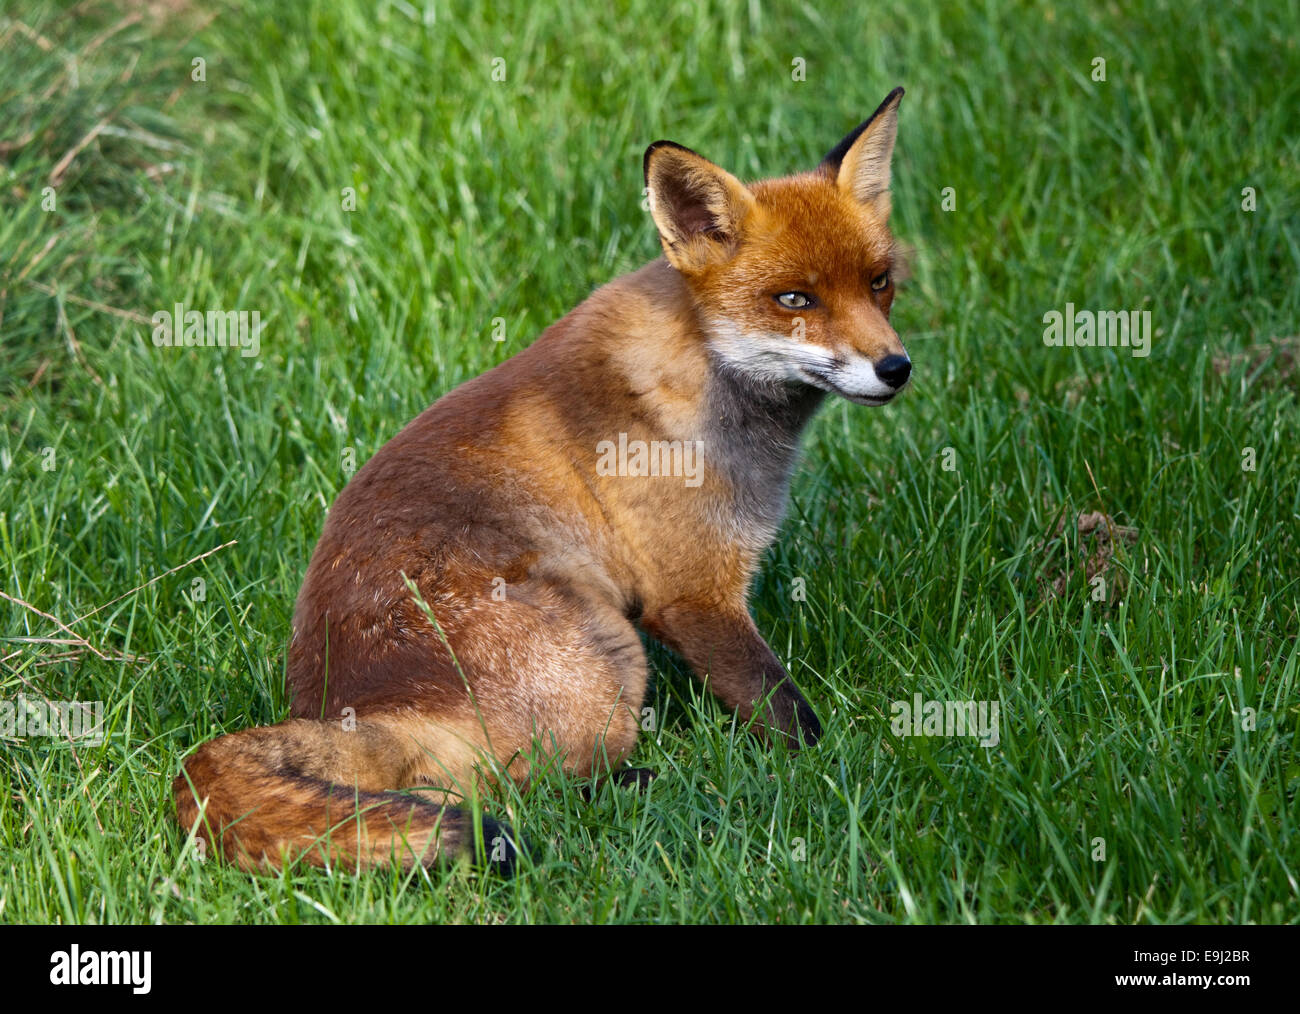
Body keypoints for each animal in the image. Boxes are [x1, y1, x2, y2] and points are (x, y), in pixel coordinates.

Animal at [175, 87, 912, 875]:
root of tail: (360, 709)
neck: (699, 375)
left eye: (879, 283)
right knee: (528, 785)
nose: (896, 368)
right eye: (795, 300)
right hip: (607, 649)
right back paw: (638, 785)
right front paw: (839, 768)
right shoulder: (691, 595)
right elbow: (787, 712)